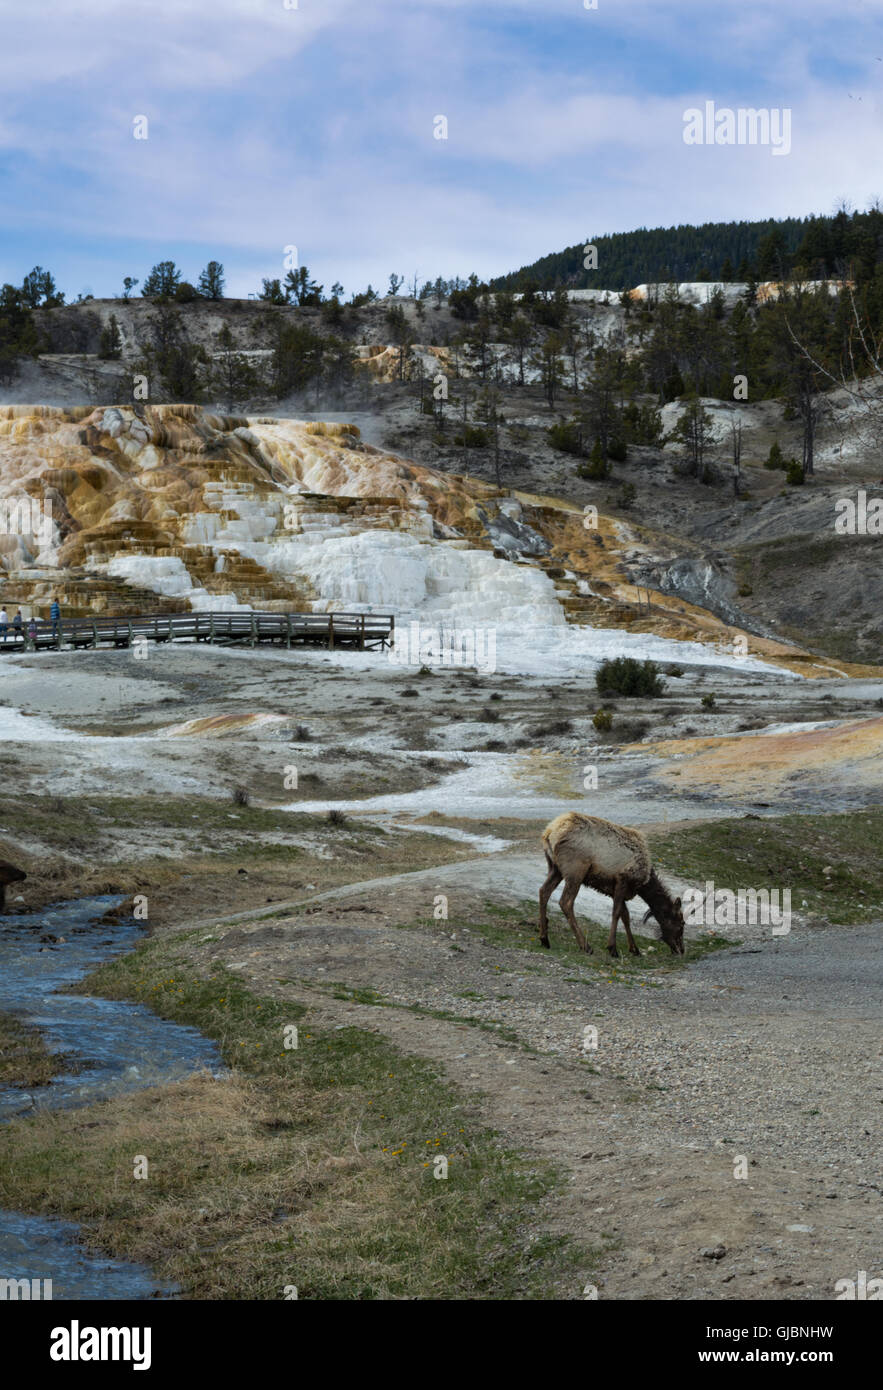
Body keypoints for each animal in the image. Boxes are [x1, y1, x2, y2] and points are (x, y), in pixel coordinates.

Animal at [538, 813, 685, 958]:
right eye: (681, 924)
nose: (681, 950)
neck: (643, 884)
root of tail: (549, 833)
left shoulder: (613, 889)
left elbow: (625, 915)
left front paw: (634, 949)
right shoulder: (622, 880)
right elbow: (617, 913)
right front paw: (612, 948)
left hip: (555, 868)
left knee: (543, 891)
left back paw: (544, 939)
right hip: (576, 870)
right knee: (566, 902)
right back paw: (586, 946)